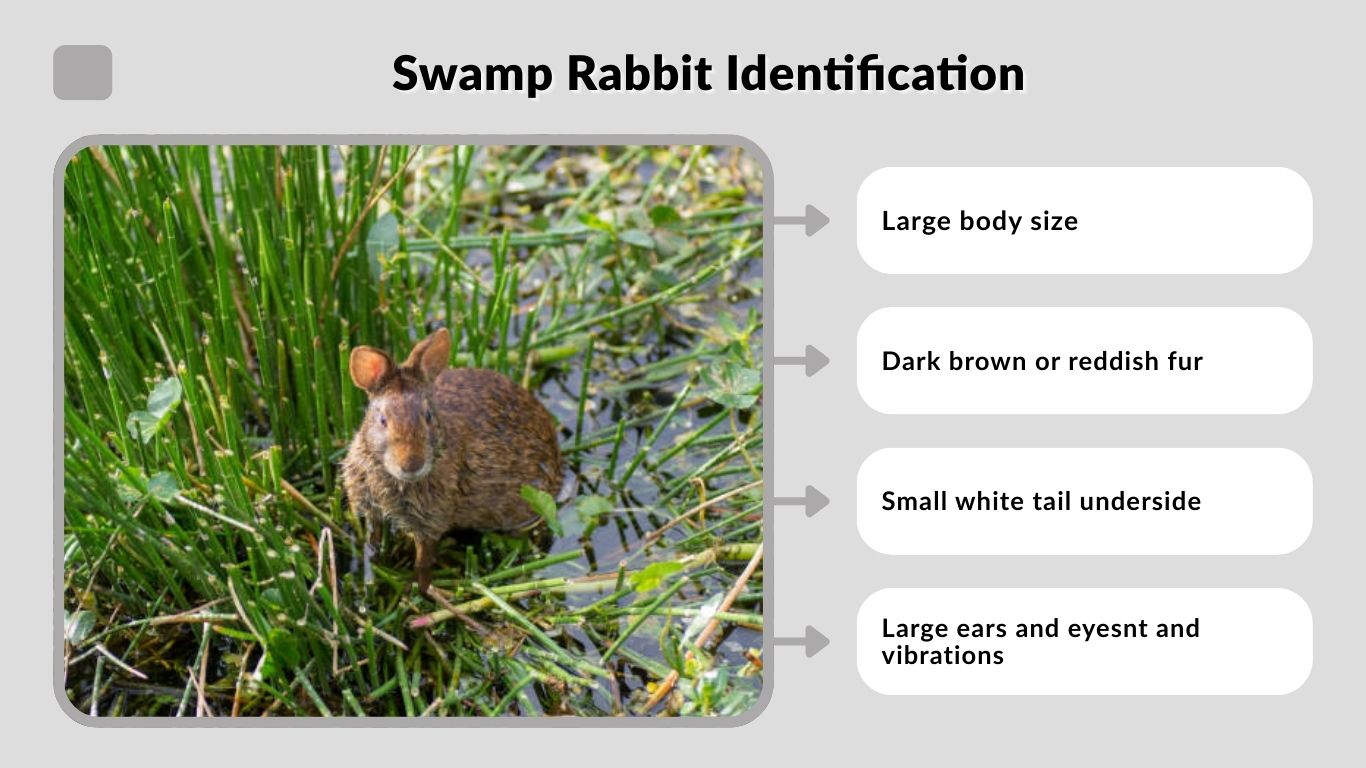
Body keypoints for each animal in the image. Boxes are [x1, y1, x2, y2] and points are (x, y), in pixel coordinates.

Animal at [341, 327, 562, 595]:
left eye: (428, 416)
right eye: (382, 420)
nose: (412, 464)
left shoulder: (430, 521)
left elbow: (423, 559)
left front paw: (421, 589)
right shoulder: (370, 509)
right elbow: (372, 540)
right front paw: (369, 568)